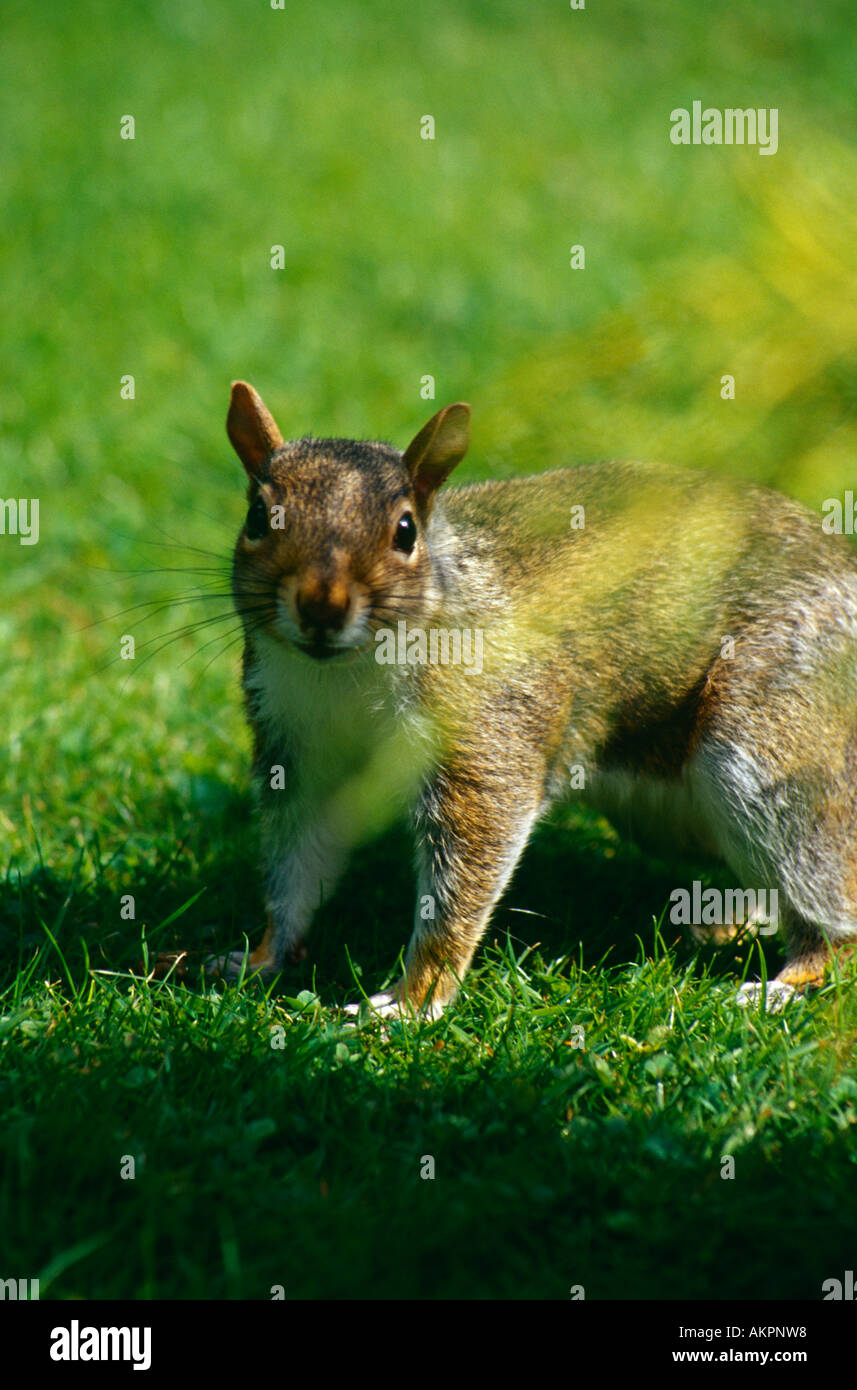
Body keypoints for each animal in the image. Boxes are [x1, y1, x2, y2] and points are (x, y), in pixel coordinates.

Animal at [190, 380, 857, 1019]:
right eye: (257, 517)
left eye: (405, 530)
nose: (321, 607)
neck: (346, 674)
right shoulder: (299, 749)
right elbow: (298, 859)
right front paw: (262, 956)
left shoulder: (490, 726)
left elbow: (467, 860)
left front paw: (412, 1000)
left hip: (765, 739)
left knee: (829, 899)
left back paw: (783, 985)